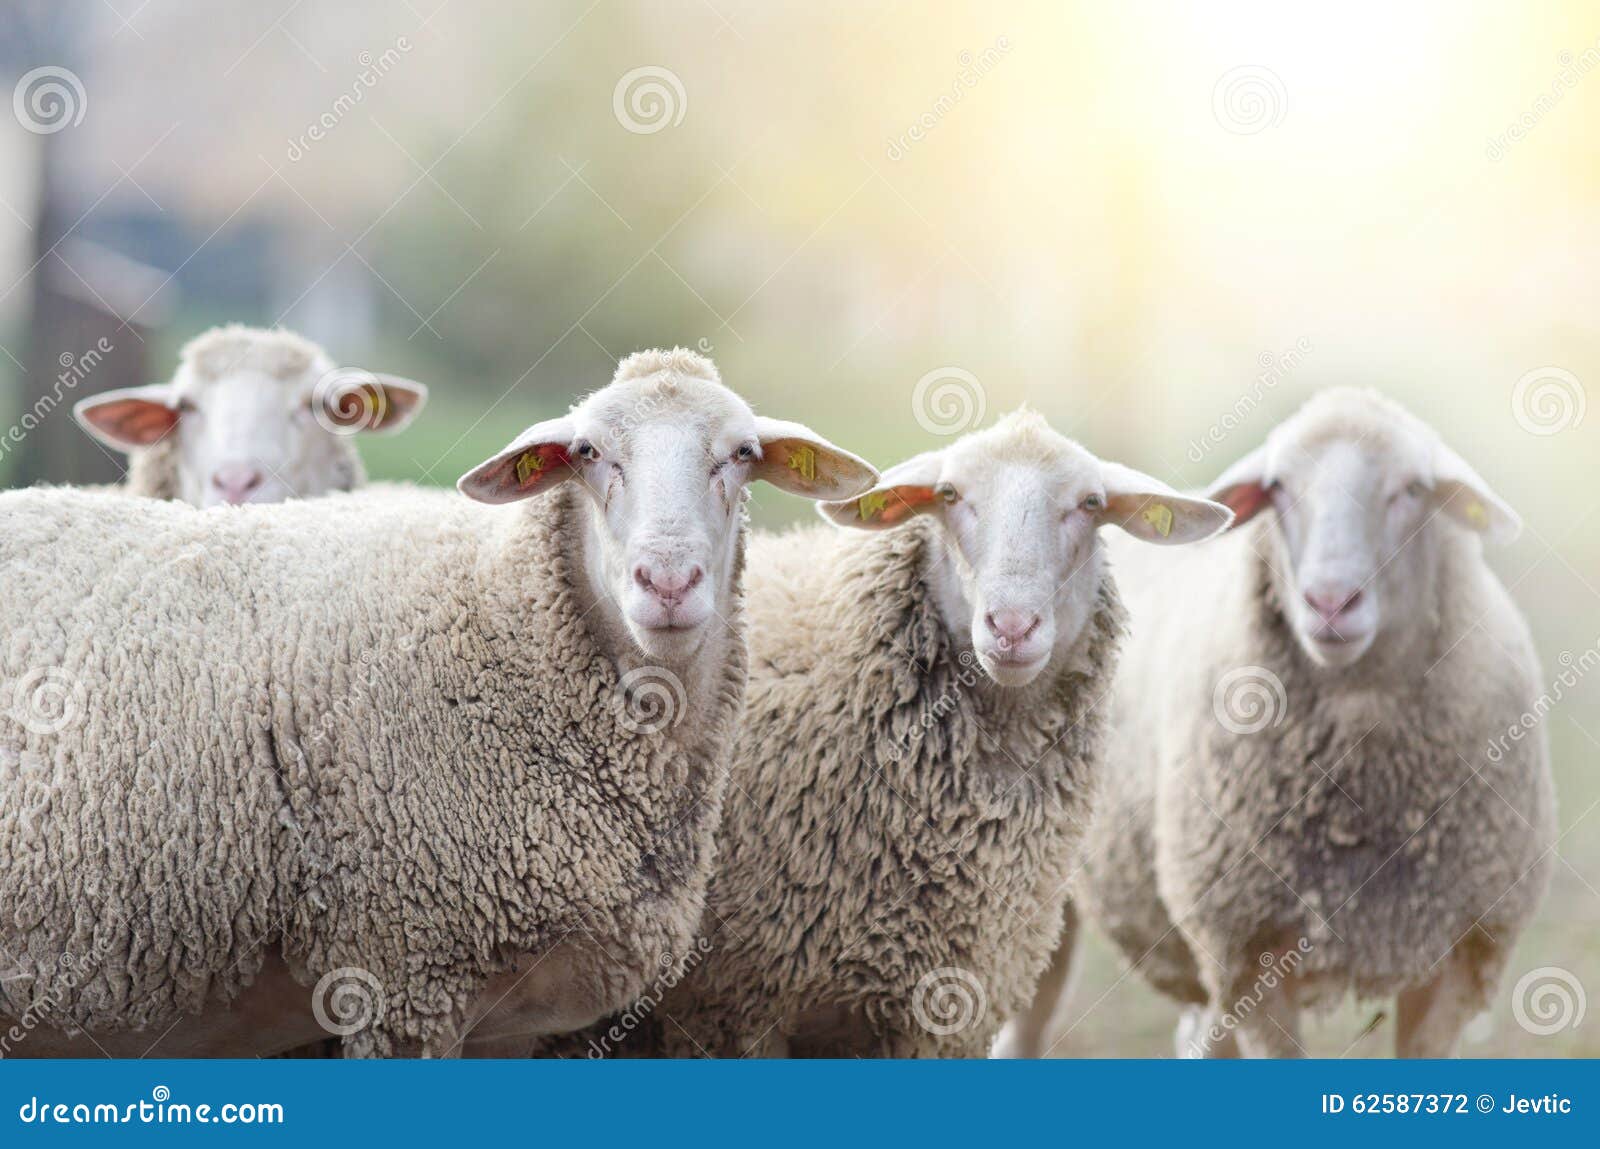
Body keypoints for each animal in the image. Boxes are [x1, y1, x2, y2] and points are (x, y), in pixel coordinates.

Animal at [0, 348, 876, 1057]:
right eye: (587, 452)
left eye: (743, 454)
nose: (667, 581)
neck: (503, 619)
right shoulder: (403, 971)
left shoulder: (513, 1016)